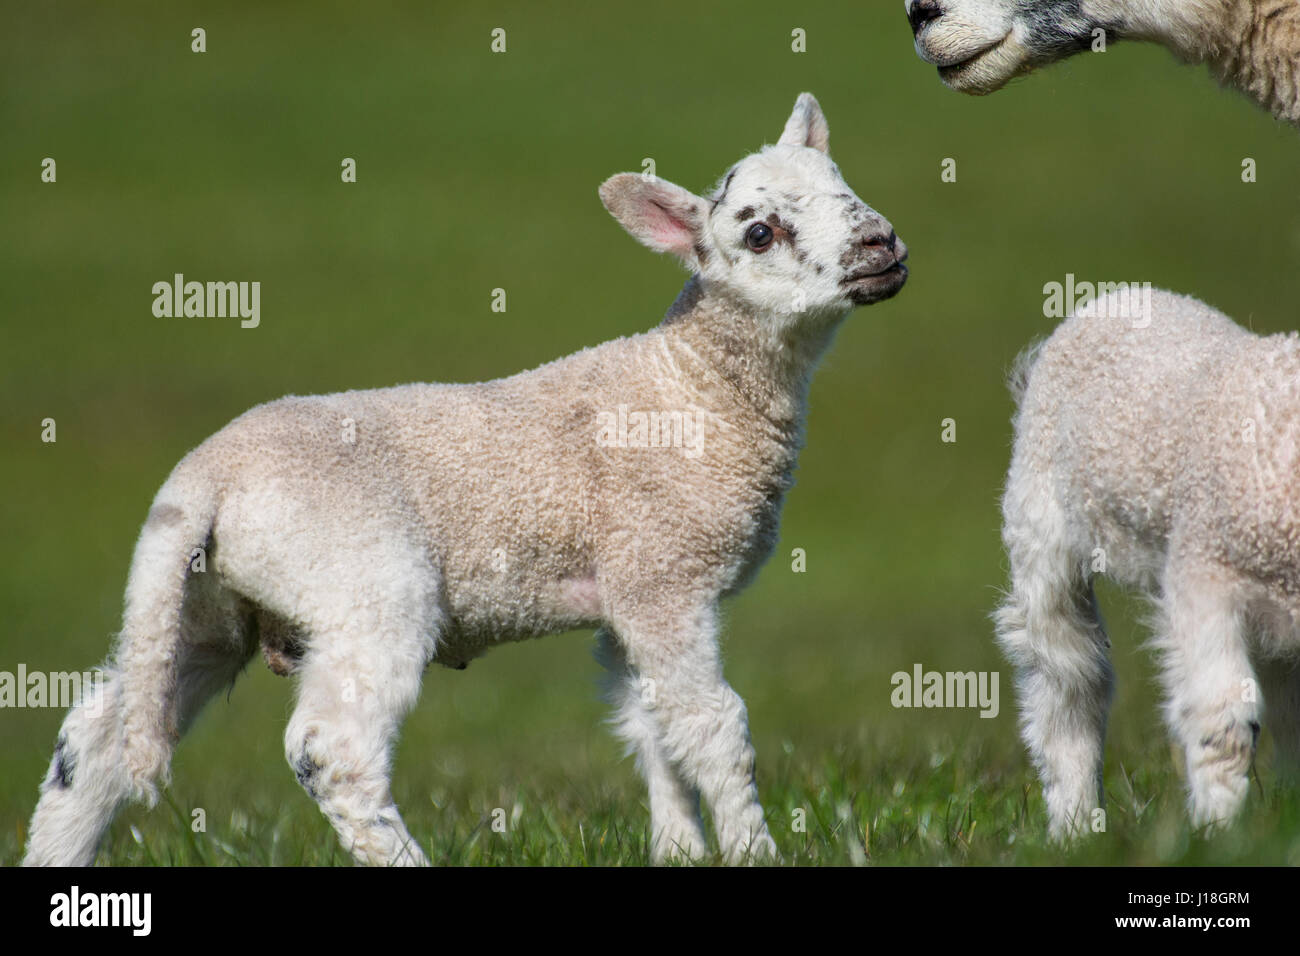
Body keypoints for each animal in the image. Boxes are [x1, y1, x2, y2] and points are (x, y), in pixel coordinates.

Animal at [21, 92, 909, 867]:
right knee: (331, 752)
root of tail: (204, 475)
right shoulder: (664, 575)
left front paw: (679, 851)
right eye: (759, 232)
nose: (882, 246)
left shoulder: (626, 593)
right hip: (366, 583)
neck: (693, 384)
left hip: (201, 604)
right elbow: (711, 726)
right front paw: (754, 851)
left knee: (94, 743)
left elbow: (650, 728)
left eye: (845, 186)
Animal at [996, 286, 1300, 839]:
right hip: (1039, 519)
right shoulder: (1201, 571)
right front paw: (1217, 830)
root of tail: (1117, 295)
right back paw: (1075, 823)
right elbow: (1221, 720)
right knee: (1066, 678)